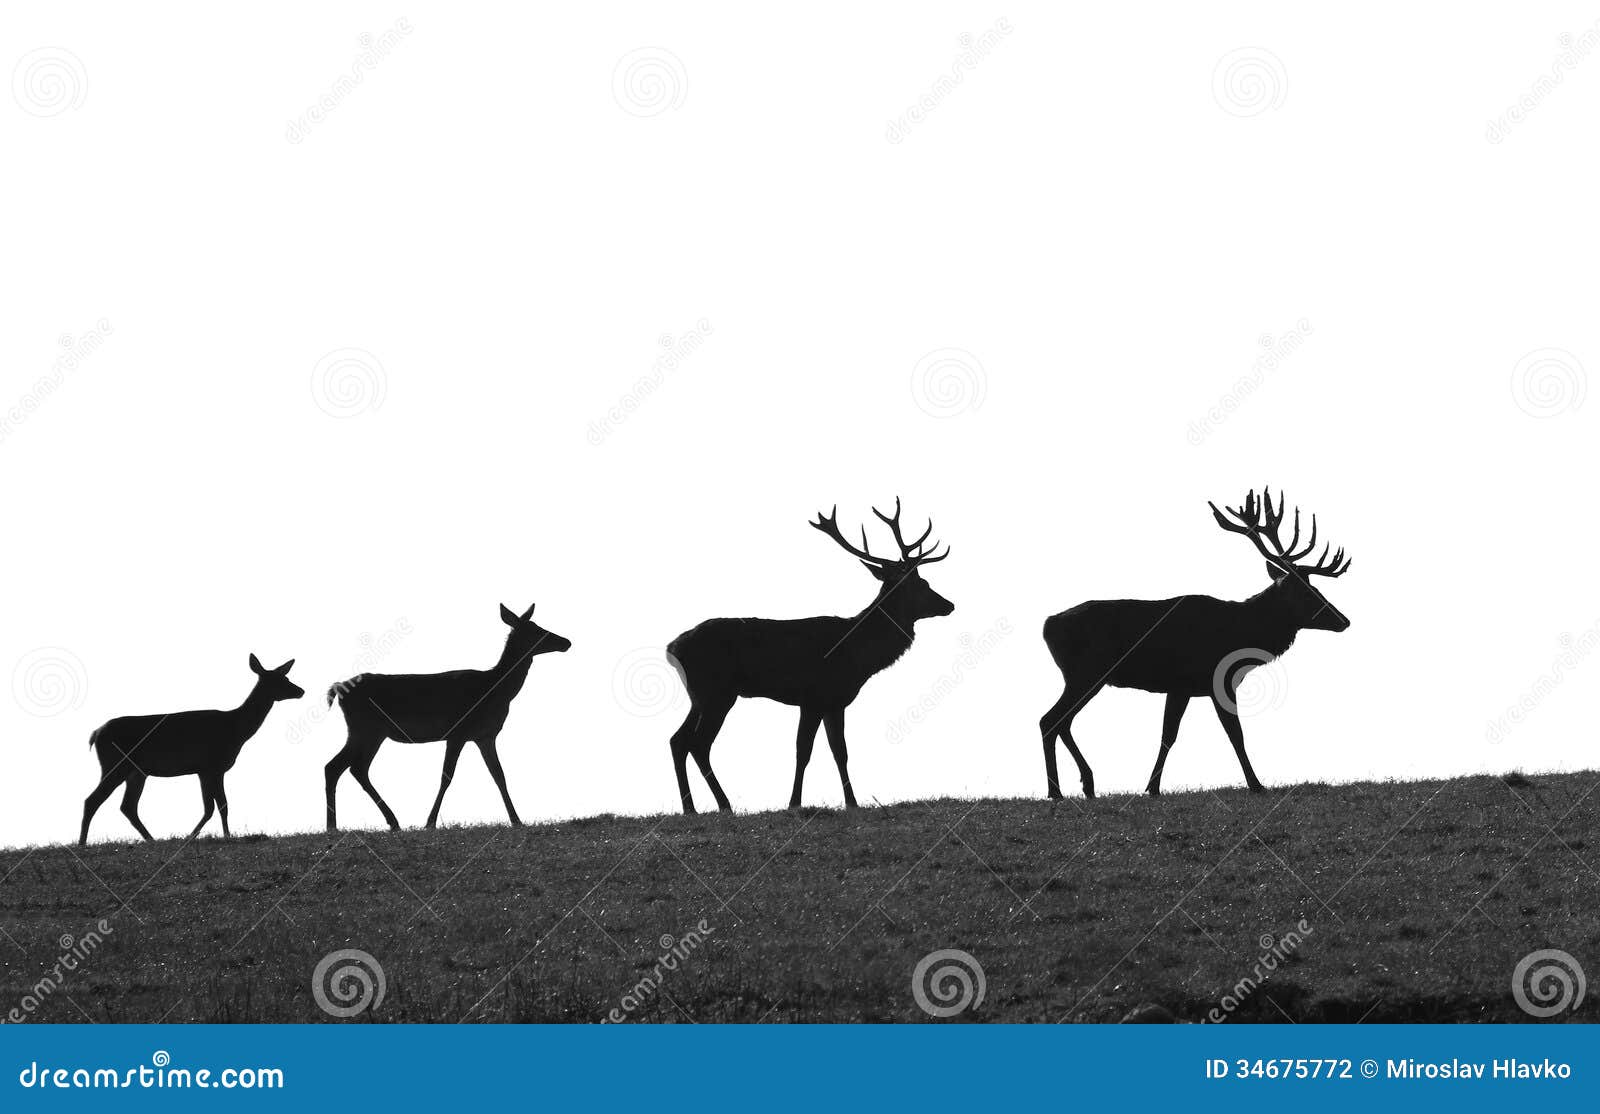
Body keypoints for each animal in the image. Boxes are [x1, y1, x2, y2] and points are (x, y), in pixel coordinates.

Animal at [79, 654, 304, 846]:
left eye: (286, 676)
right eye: (279, 680)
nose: (301, 690)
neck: (236, 730)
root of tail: (95, 734)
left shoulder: (205, 770)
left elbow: (214, 807)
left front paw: (201, 835)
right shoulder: (213, 766)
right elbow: (219, 806)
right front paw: (221, 836)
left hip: (136, 772)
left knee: (127, 806)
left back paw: (151, 839)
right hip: (116, 763)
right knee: (92, 800)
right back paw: (82, 843)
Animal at [324, 603, 571, 831]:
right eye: (536, 630)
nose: (566, 642)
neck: (495, 690)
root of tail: (338, 688)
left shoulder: (486, 736)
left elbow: (499, 775)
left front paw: (517, 820)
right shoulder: (457, 732)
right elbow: (447, 776)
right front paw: (430, 822)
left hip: (371, 732)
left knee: (350, 768)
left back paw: (378, 822)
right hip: (365, 728)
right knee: (340, 766)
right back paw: (341, 825)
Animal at [666, 498, 953, 814]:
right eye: (922, 585)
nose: (949, 604)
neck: (856, 654)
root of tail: (673, 648)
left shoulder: (834, 702)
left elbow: (840, 752)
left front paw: (852, 802)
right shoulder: (813, 697)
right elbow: (803, 751)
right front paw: (794, 802)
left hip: (699, 695)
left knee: (678, 740)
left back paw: (690, 807)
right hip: (717, 692)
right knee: (698, 743)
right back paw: (723, 804)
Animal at [1040, 488, 1351, 800]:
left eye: (1316, 587)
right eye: (1306, 592)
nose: (1344, 620)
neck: (1241, 634)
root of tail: (1047, 625)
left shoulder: (1185, 688)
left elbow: (1171, 735)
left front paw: (1152, 787)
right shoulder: (1208, 681)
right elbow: (1231, 734)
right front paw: (1256, 784)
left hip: (1086, 678)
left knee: (1062, 721)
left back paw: (1087, 784)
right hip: (1085, 674)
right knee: (1050, 720)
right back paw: (1057, 791)